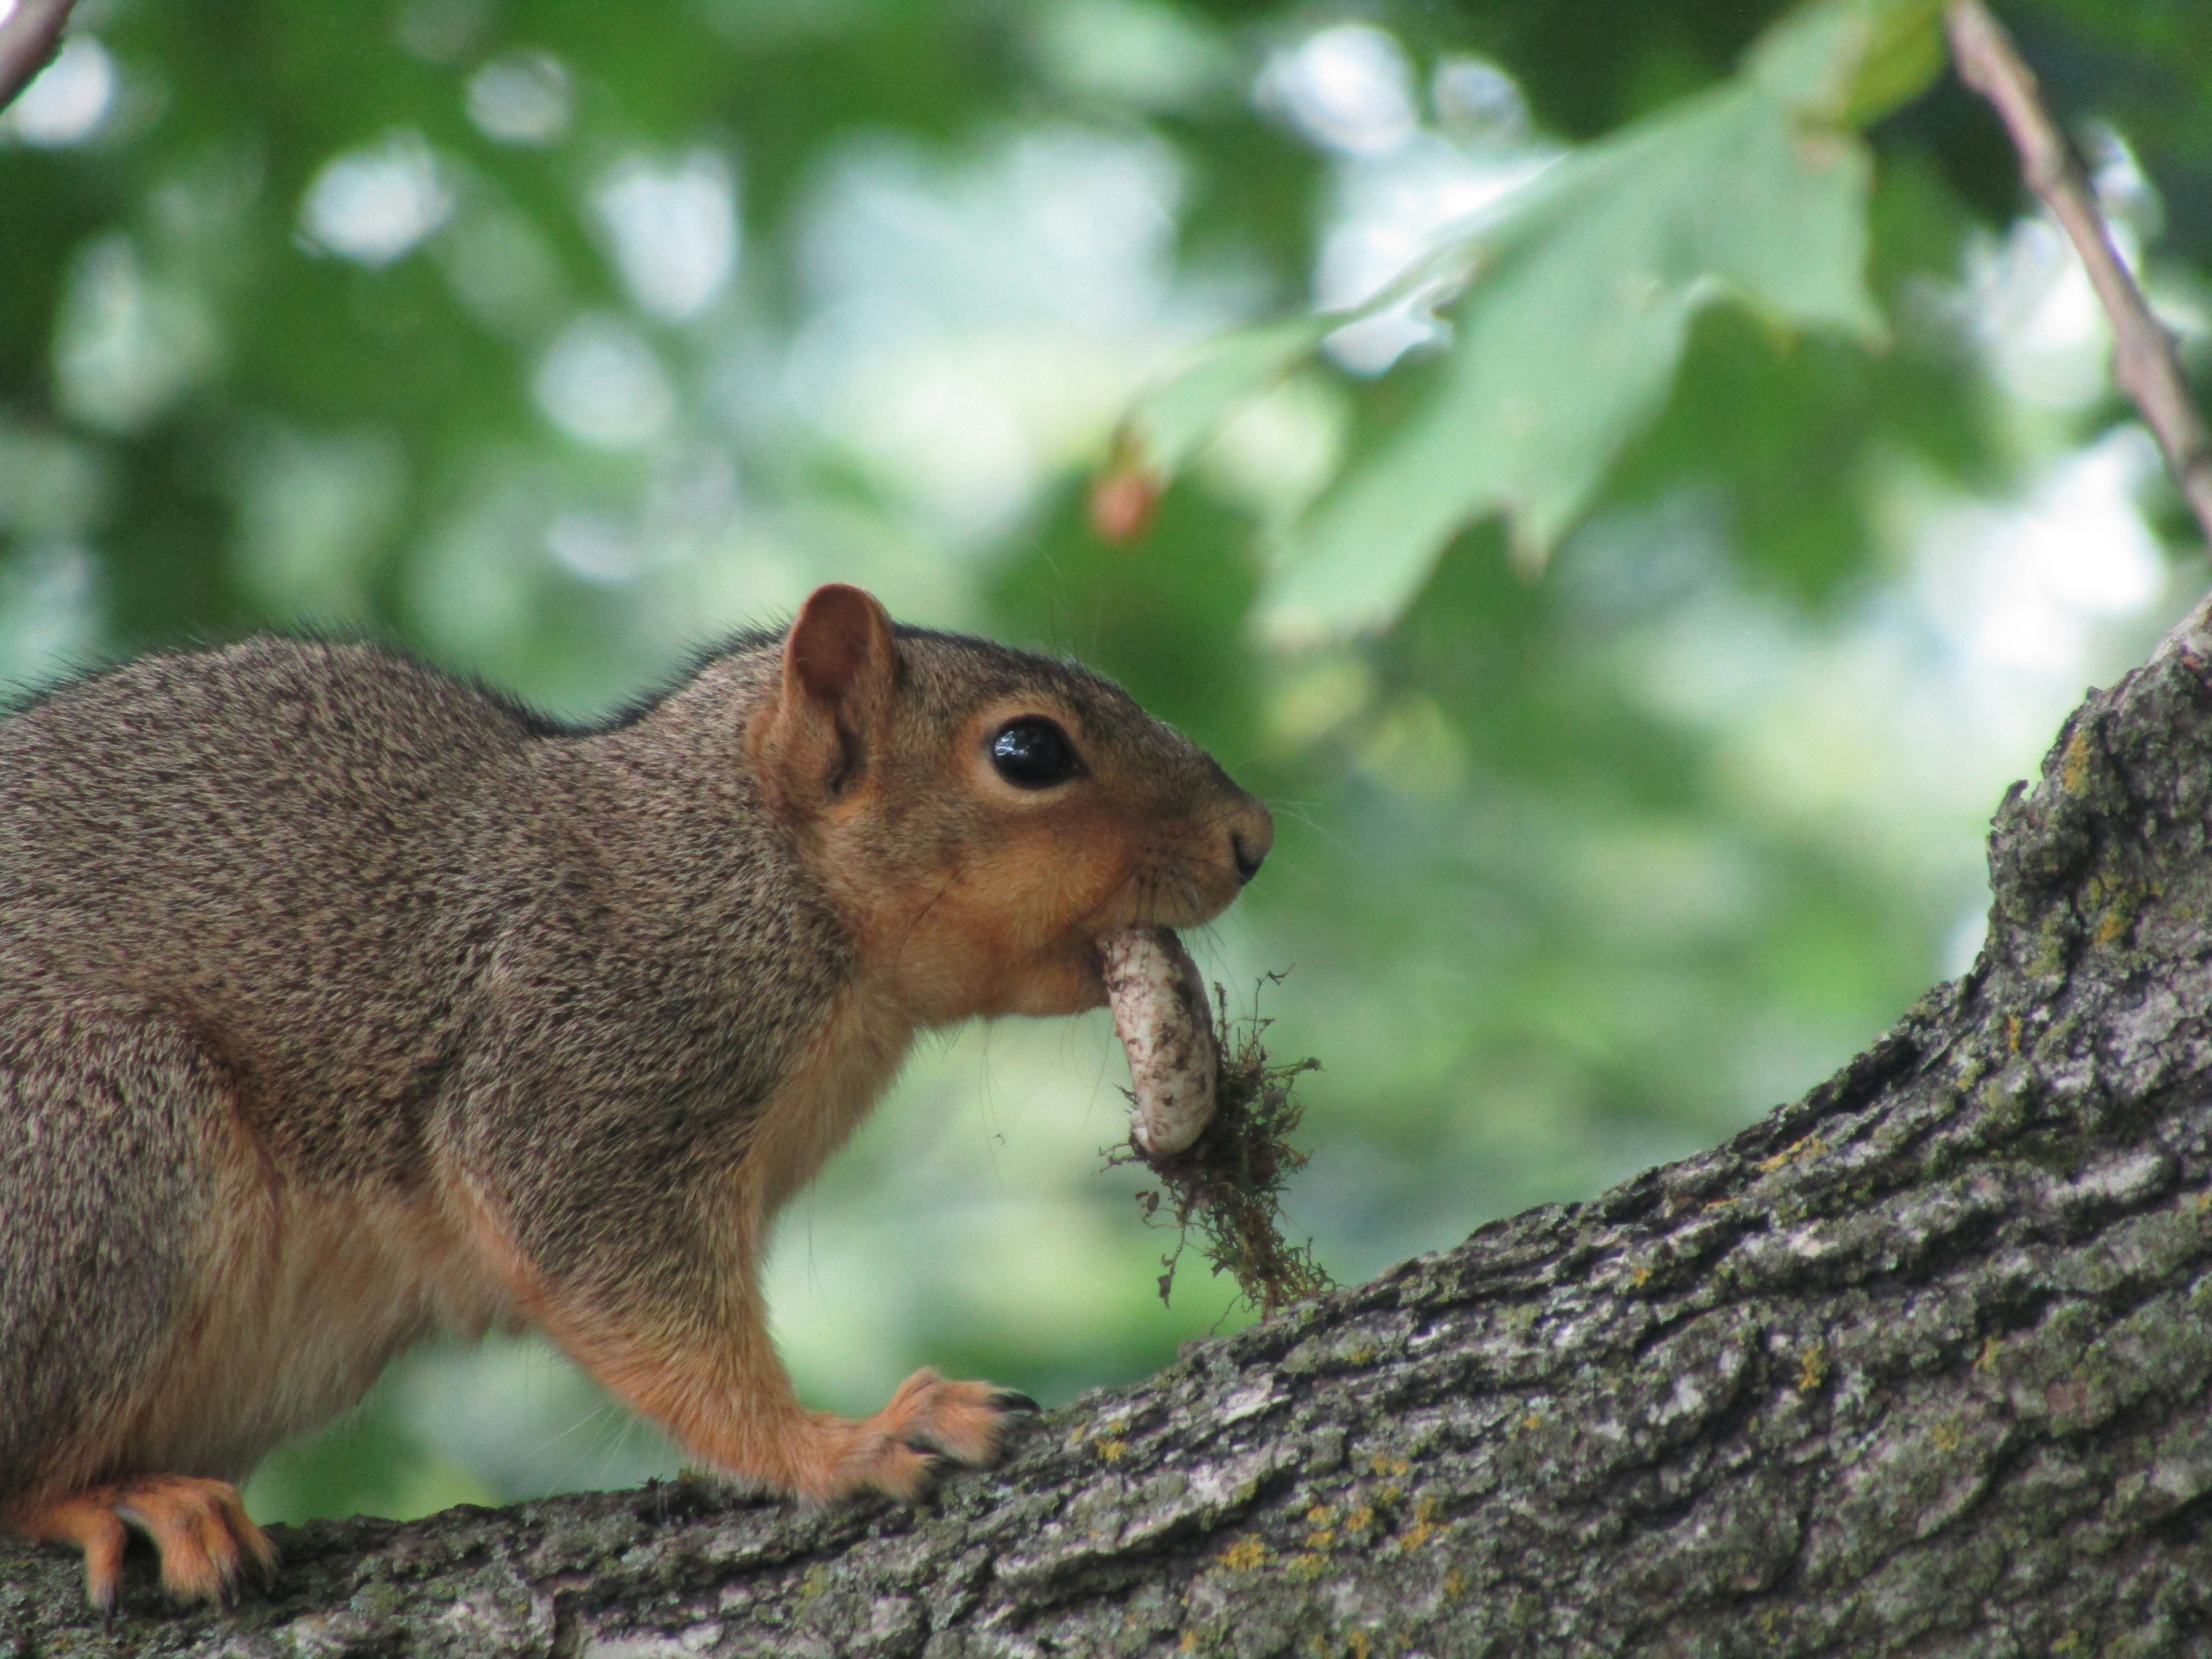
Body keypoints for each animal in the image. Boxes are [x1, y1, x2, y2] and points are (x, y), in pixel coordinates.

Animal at [0, 582, 1274, 1616]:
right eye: (1028, 752)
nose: (1253, 837)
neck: (756, 860)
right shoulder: (587, 1056)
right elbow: (631, 1293)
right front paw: (844, 1440)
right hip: (107, 1147)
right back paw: (124, 1501)